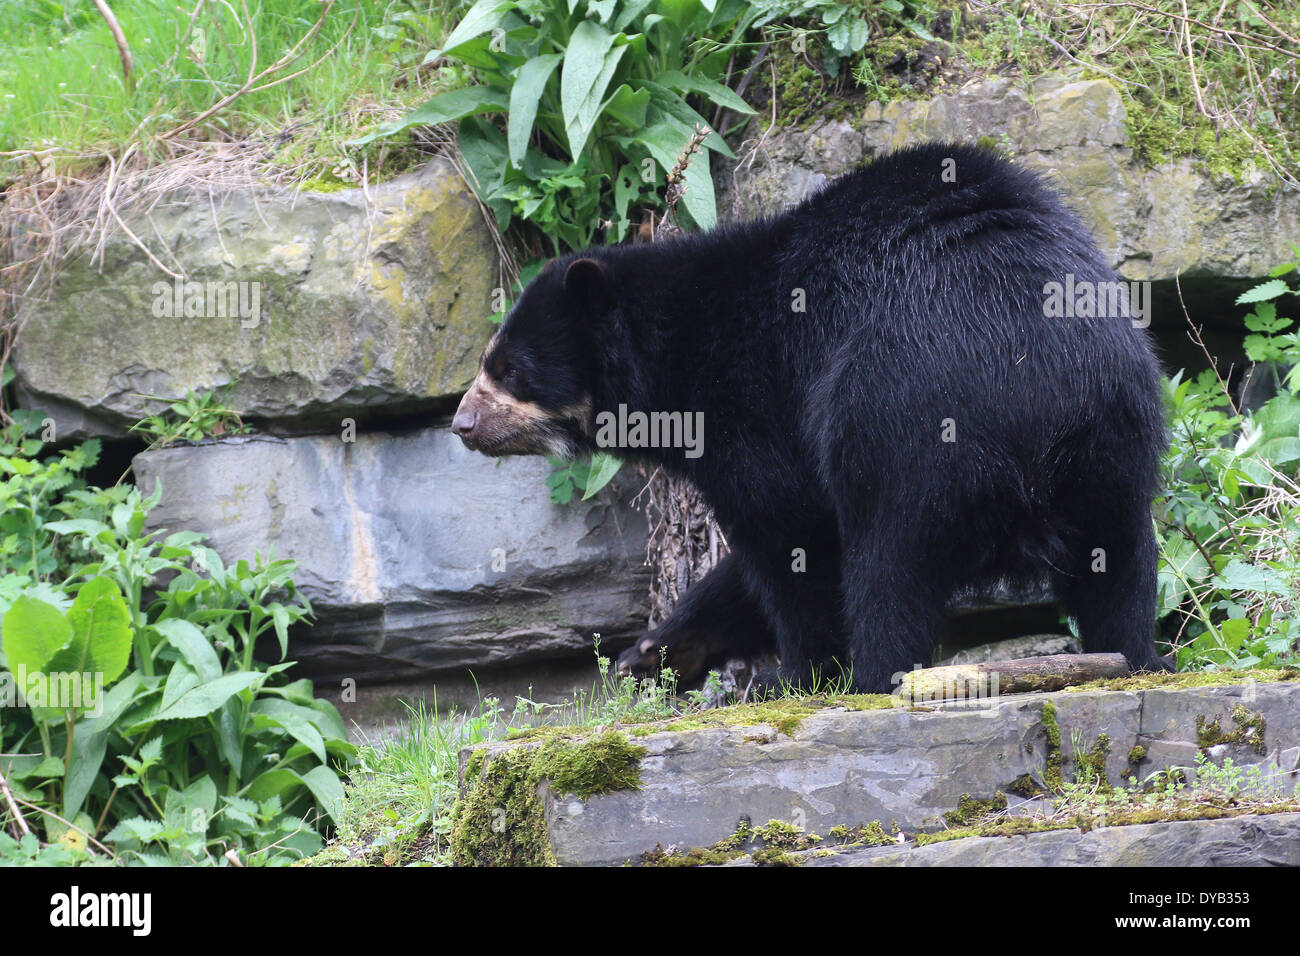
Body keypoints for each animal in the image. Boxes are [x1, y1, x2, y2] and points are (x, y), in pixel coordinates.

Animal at [452, 142, 1169, 693]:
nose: (461, 425)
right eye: (490, 360)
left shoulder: (755, 408)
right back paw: (1131, 655)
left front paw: (792, 675)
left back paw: (876, 676)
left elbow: (786, 537)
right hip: (1116, 434)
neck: (673, 354)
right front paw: (652, 653)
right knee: (1120, 556)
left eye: (509, 369)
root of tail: (1038, 375)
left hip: (899, 416)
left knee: (888, 563)